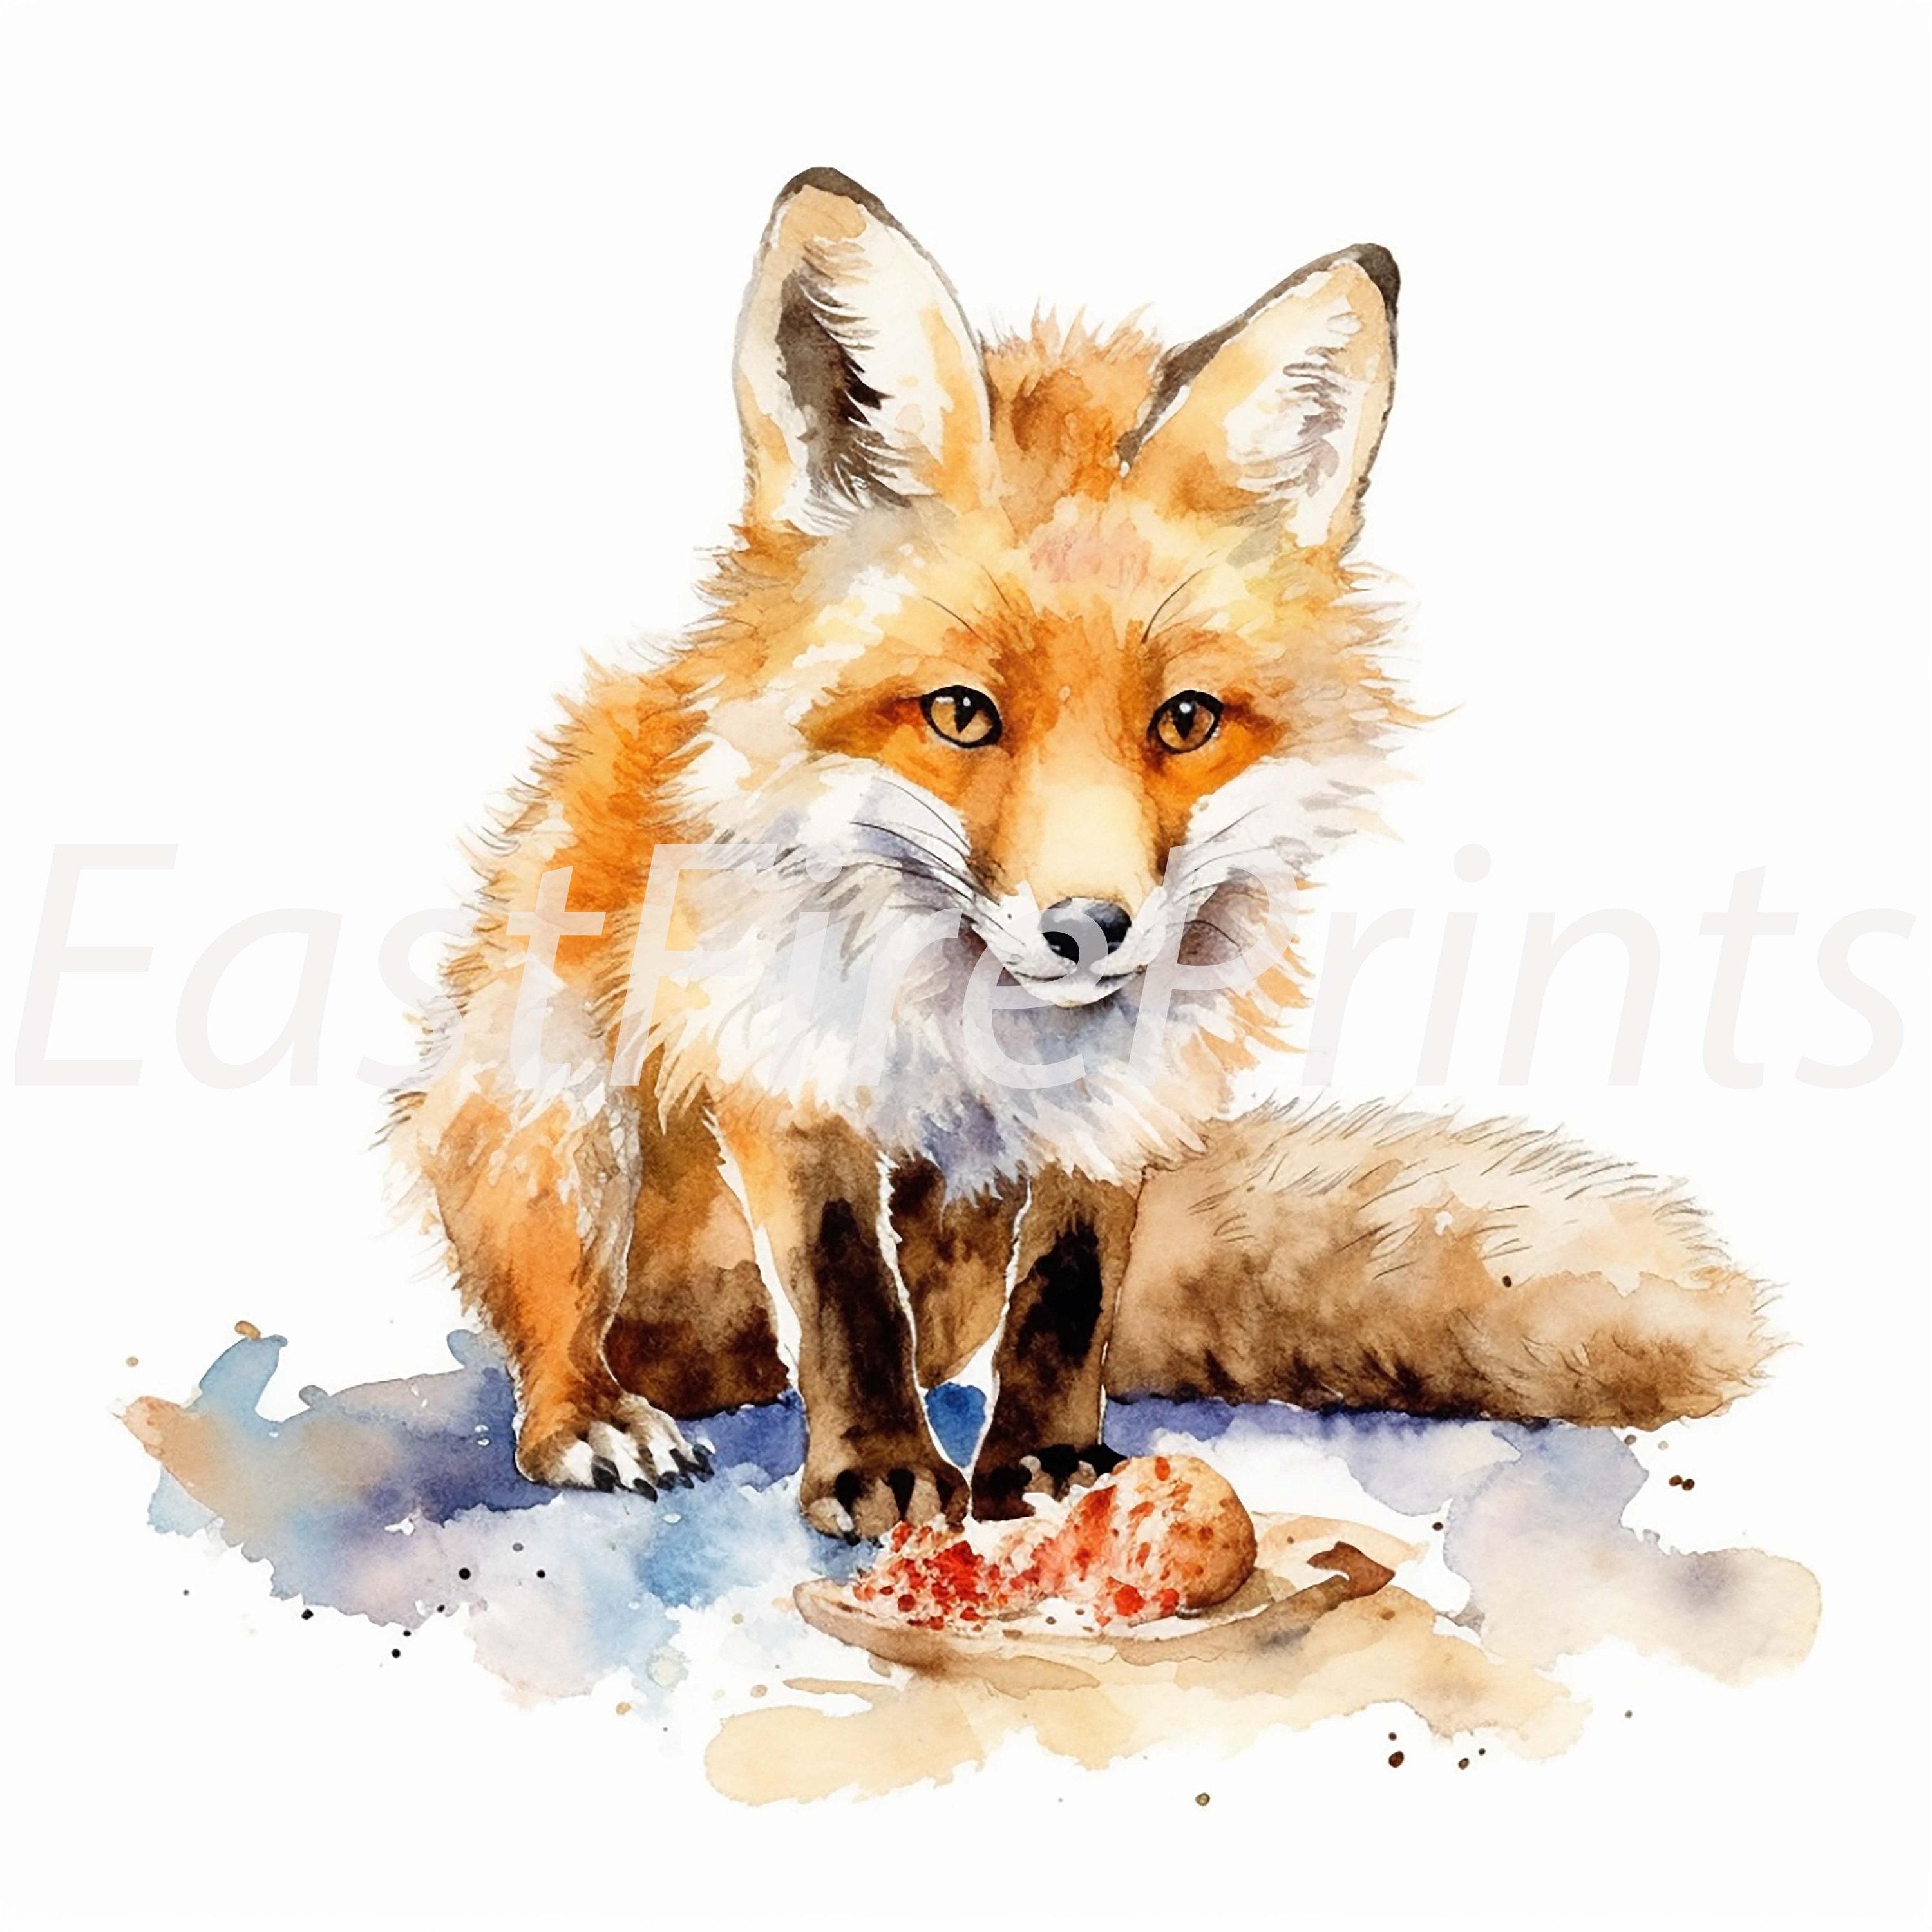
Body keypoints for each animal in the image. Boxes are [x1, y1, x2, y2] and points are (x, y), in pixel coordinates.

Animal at [390, 169, 1771, 1537]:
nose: (1089, 928)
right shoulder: (781, 1054)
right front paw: (878, 1468)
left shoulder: (1122, 1100)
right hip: (553, 1108)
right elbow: (846, 1295)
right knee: (569, 1324)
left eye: (1186, 722)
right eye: (960, 714)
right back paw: (594, 1413)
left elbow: (1066, 1290)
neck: (978, 1029)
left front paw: (1045, 1460)